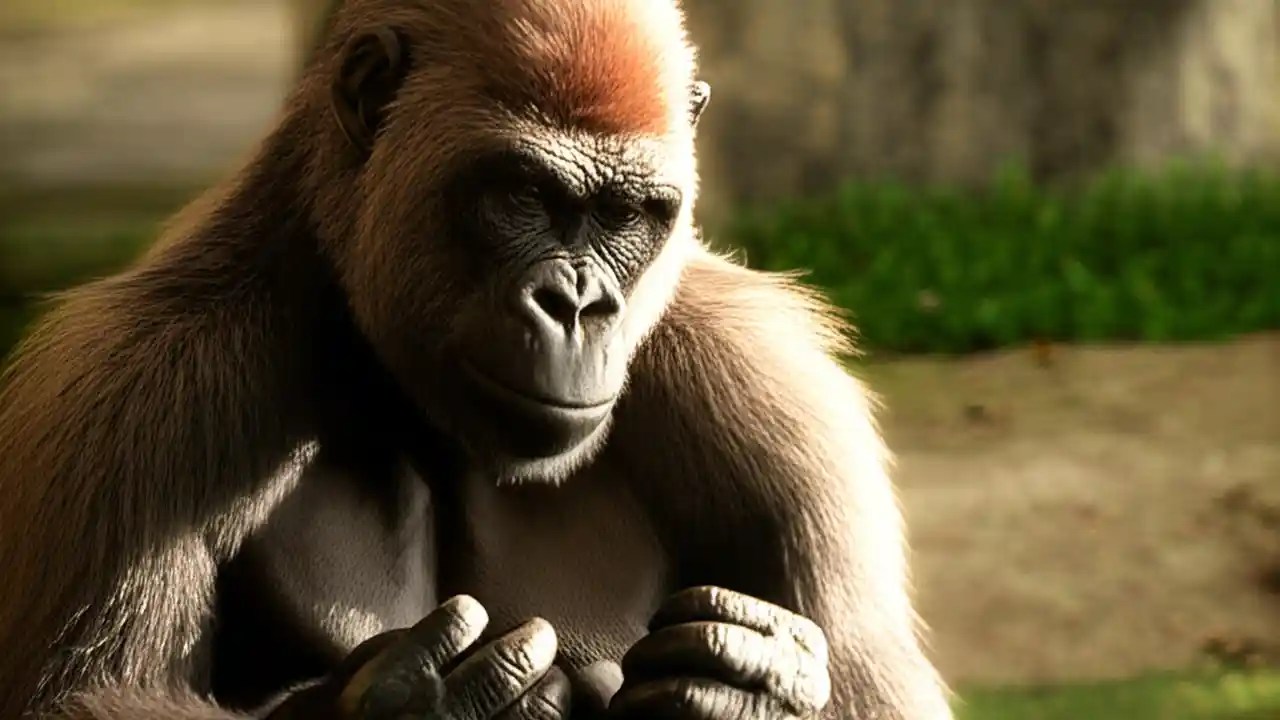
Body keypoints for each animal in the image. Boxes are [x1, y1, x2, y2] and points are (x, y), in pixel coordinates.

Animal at [0, 0, 953, 718]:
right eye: (523, 195)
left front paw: (755, 692)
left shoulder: (770, 391)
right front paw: (402, 704)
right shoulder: (126, 384)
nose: (577, 307)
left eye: (627, 215)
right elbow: (89, 697)